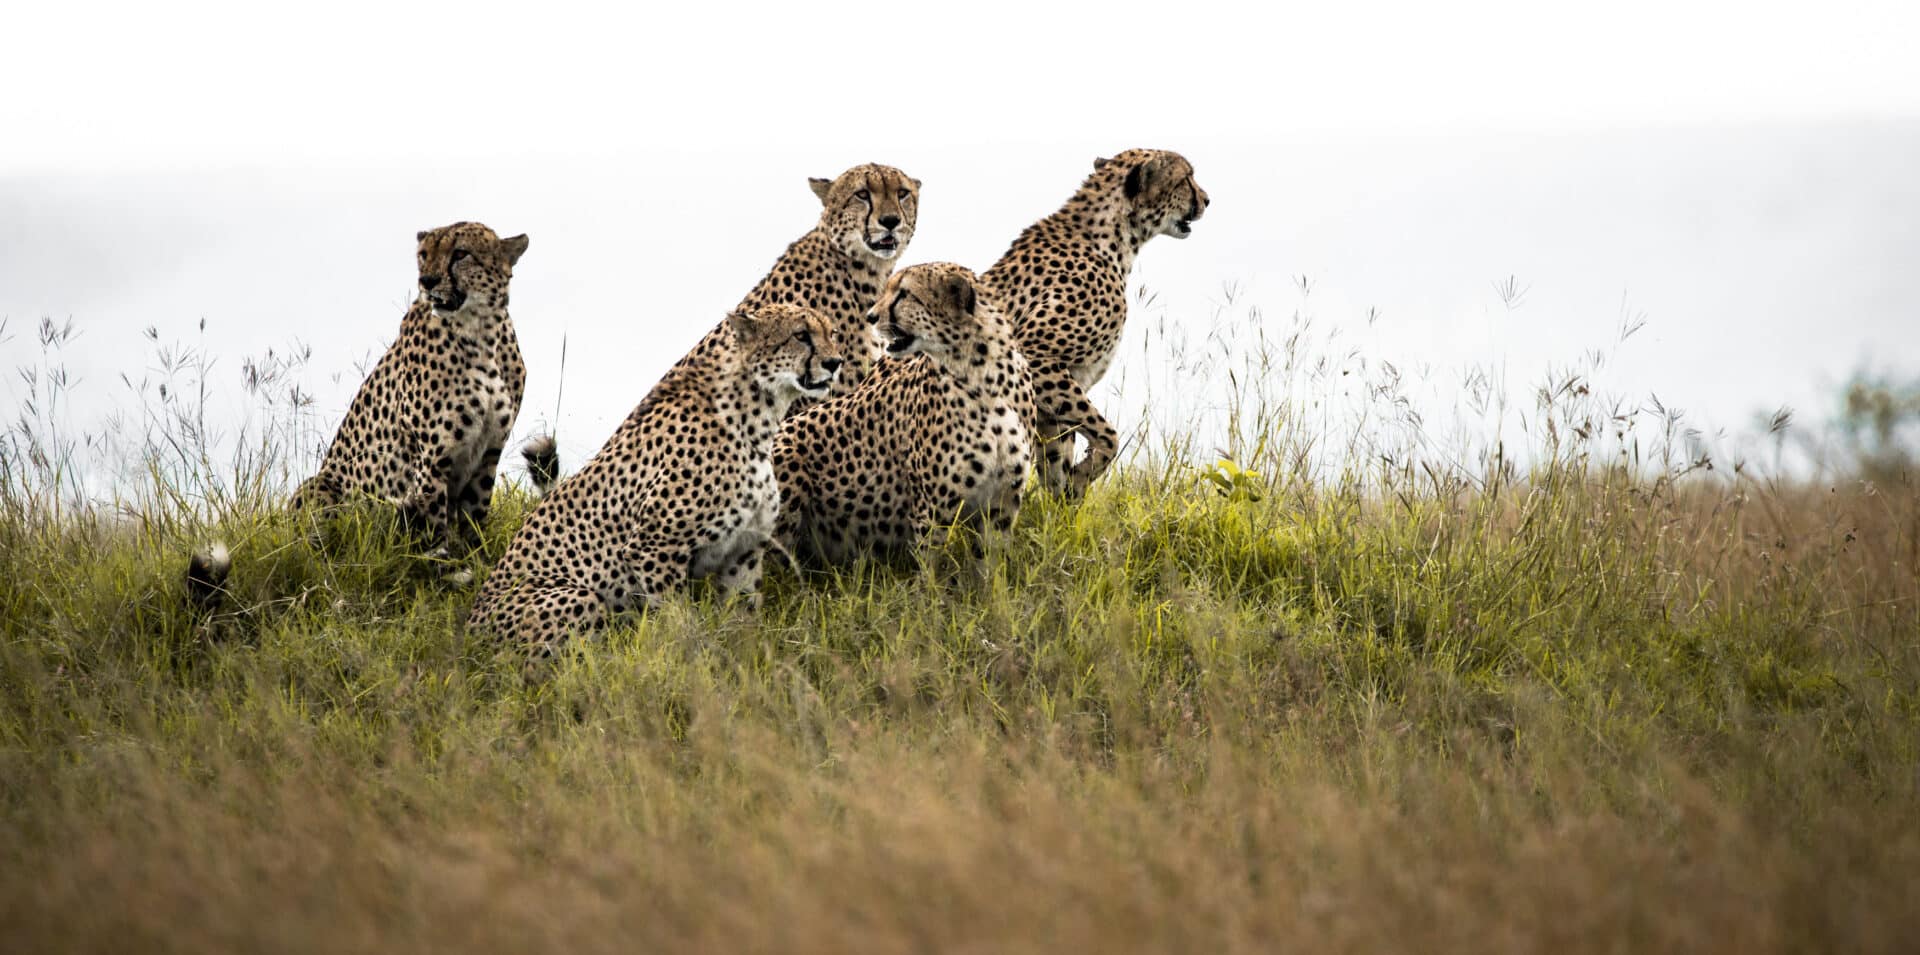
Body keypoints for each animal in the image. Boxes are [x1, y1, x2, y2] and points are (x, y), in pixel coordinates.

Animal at [466, 304, 843, 658]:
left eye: (831, 333)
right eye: (800, 335)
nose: (834, 362)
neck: (756, 419)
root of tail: (468, 632)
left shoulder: (744, 551)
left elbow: (743, 620)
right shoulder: (654, 548)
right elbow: (680, 621)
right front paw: (691, 661)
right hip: (577, 596)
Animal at [773, 262, 1035, 565]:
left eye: (904, 294)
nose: (870, 316)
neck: (985, 374)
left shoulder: (1000, 505)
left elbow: (991, 566)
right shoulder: (931, 512)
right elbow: (932, 568)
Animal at [982, 148, 1208, 497]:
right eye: (1186, 178)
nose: (1207, 200)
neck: (1115, 239)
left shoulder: (1061, 385)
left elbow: (1057, 454)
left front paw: (1062, 502)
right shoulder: (1036, 356)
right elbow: (1108, 437)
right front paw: (1080, 479)